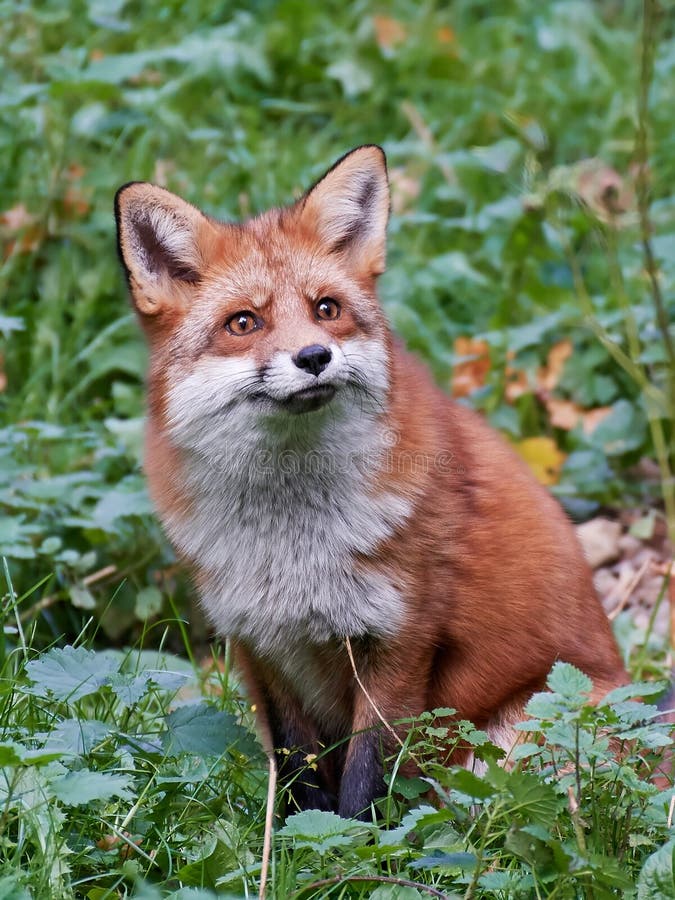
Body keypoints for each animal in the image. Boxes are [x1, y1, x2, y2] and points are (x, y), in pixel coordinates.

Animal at [115, 145, 628, 819]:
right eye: (243, 323)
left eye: (326, 309)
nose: (313, 357)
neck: (292, 545)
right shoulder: (261, 647)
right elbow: (298, 774)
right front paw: (297, 838)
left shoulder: (399, 641)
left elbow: (368, 775)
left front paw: (361, 844)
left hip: (520, 735)